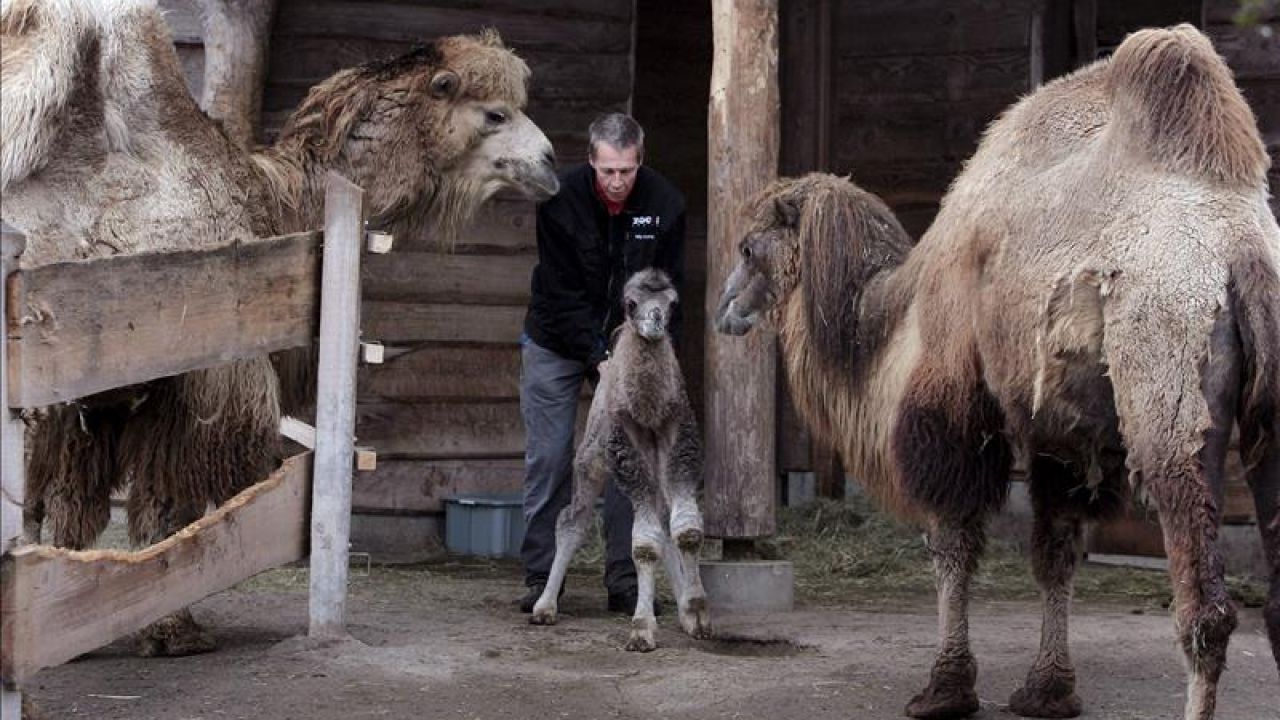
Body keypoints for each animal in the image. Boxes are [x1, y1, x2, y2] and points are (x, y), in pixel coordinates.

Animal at [1, 0, 559, 655]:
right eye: (496, 112)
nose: (551, 165)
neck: (275, 201)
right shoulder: (202, 379)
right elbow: (166, 508)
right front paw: (173, 629)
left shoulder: (94, 399)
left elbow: (70, 506)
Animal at [714, 25, 1279, 720]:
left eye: (747, 248)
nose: (723, 309)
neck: (895, 320)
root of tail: (1242, 251)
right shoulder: (1065, 437)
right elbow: (1056, 553)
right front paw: (1047, 691)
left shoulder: (952, 404)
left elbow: (952, 544)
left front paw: (946, 688)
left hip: (1168, 387)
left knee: (1206, 609)